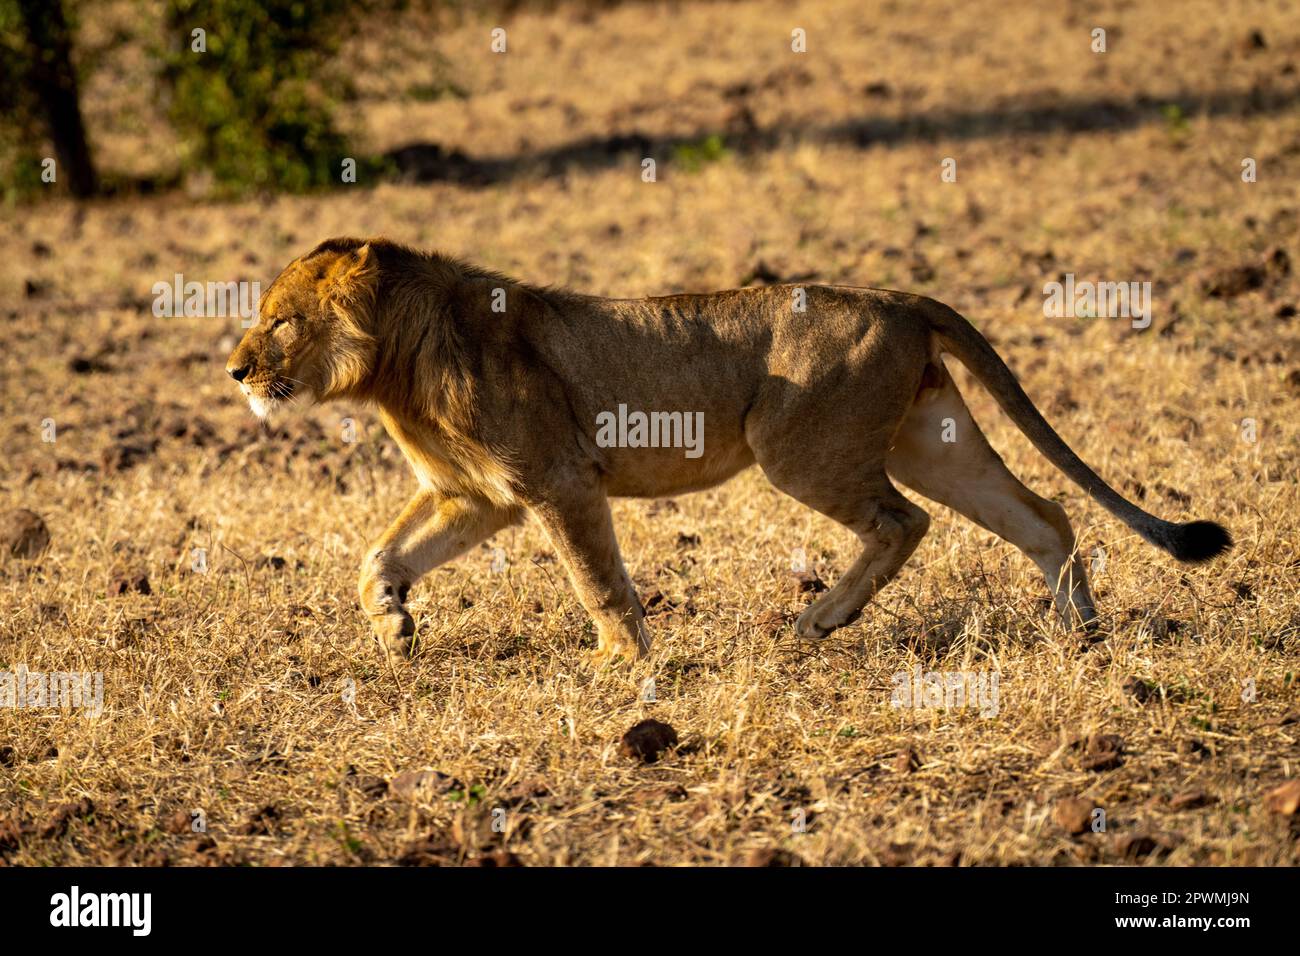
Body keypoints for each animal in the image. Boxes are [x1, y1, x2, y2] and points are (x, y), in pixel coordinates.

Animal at [226, 237, 1231, 663]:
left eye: (280, 321)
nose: (235, 370)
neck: (395, 363)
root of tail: (898, 296)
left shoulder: (555, 481)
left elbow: (597, 578)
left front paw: (620, 663)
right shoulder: (477, 495)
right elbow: (379, 555)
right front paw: (394, 627)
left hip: (799, 449)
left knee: (901, 522)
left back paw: (821, 620)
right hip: (930, 439)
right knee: (1042, 513)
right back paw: (1082, 631)